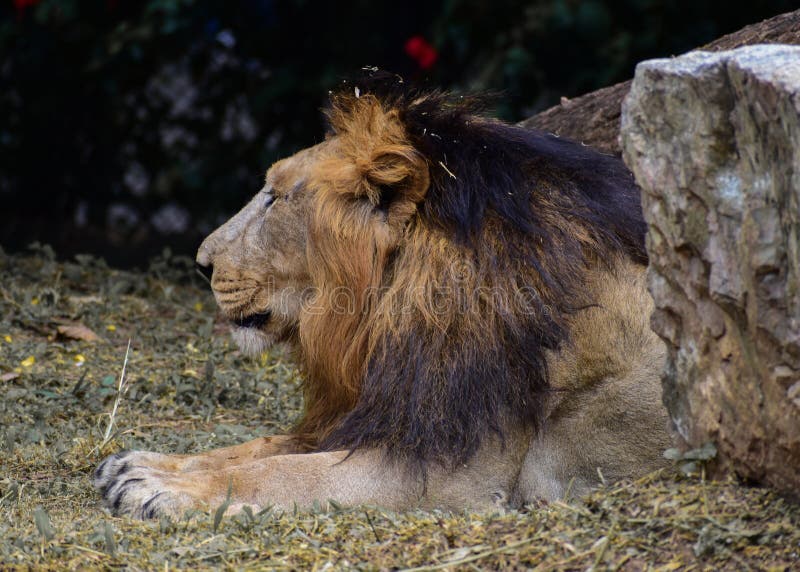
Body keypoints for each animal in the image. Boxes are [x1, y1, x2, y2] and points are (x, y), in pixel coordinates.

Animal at [94, 75, 671, 519]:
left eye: (276, 198)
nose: (202, 261)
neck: (393, 309)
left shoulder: (454, 475)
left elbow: (284, 473)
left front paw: (164, 489)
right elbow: (260, 448)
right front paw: (145, 465)